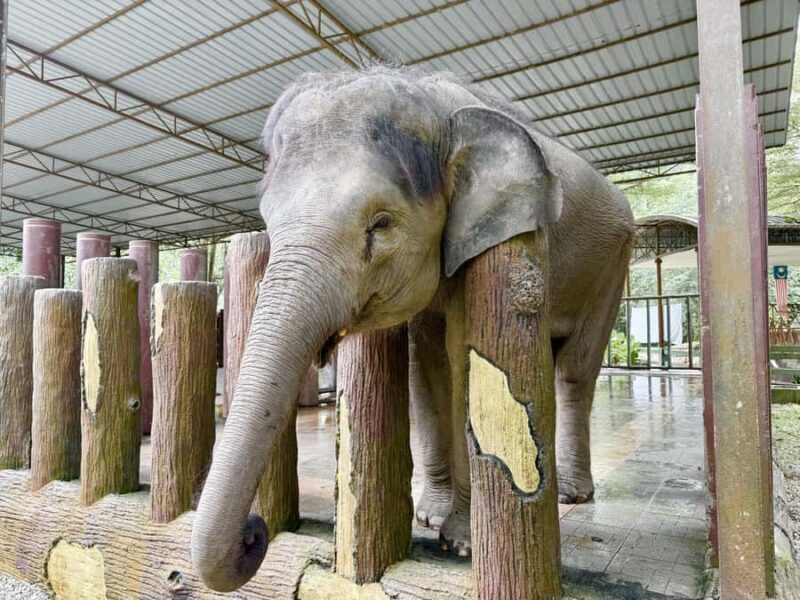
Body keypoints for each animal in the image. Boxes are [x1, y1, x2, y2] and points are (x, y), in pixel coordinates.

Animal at [191, 67, 635, 591]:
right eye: (267, 220)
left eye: (381, 224)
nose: (254, 532)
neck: (432, 104)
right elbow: (427, 366)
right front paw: (430, 518)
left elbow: (464, 360)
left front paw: (460, 543)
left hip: (613, 264)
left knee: (576, 371)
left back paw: (571, 496)